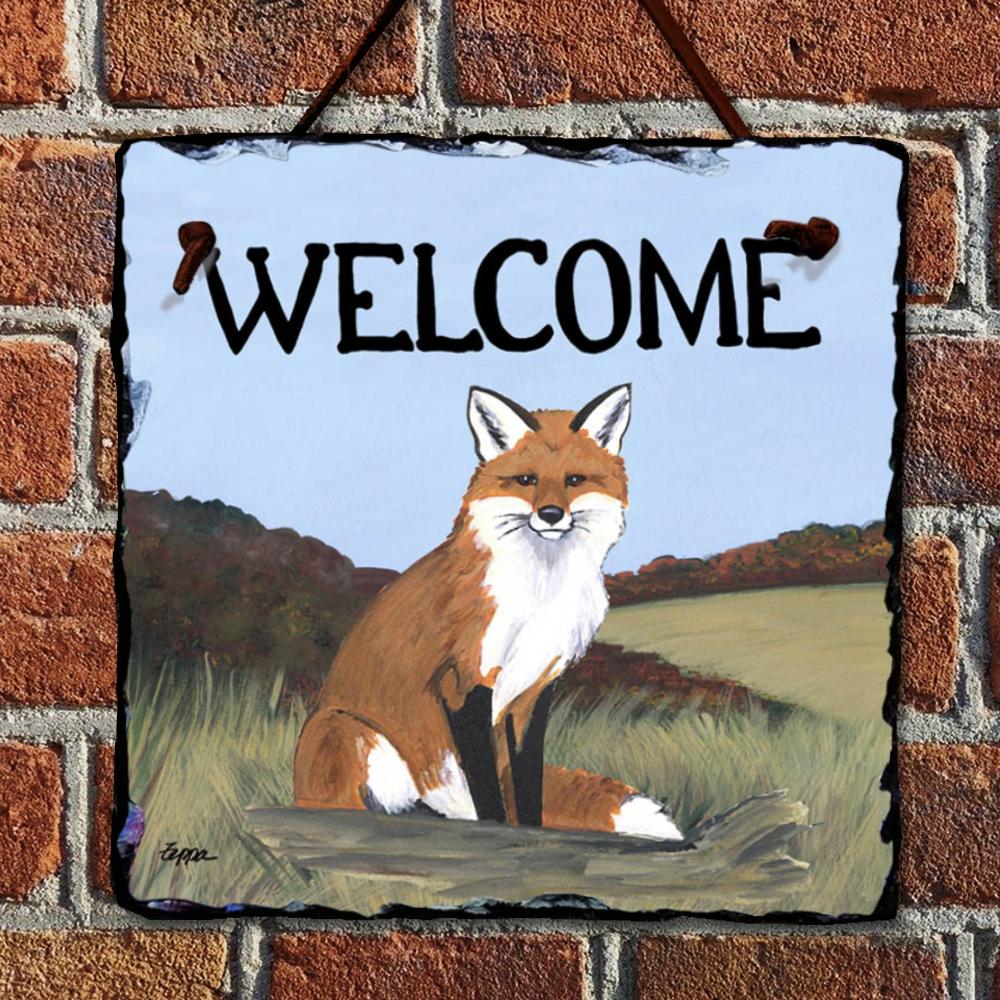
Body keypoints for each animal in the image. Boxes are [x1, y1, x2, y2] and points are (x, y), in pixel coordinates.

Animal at [293, 384, 684, 840]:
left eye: (574, 480)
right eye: (527, 480)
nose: (551, 514)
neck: (540, 593)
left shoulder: (534, 690)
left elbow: (526, 783)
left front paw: (530, 831)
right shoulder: (465, 682)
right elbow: (487, 789)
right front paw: (497, 829)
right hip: (350, 733)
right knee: (354, 807)